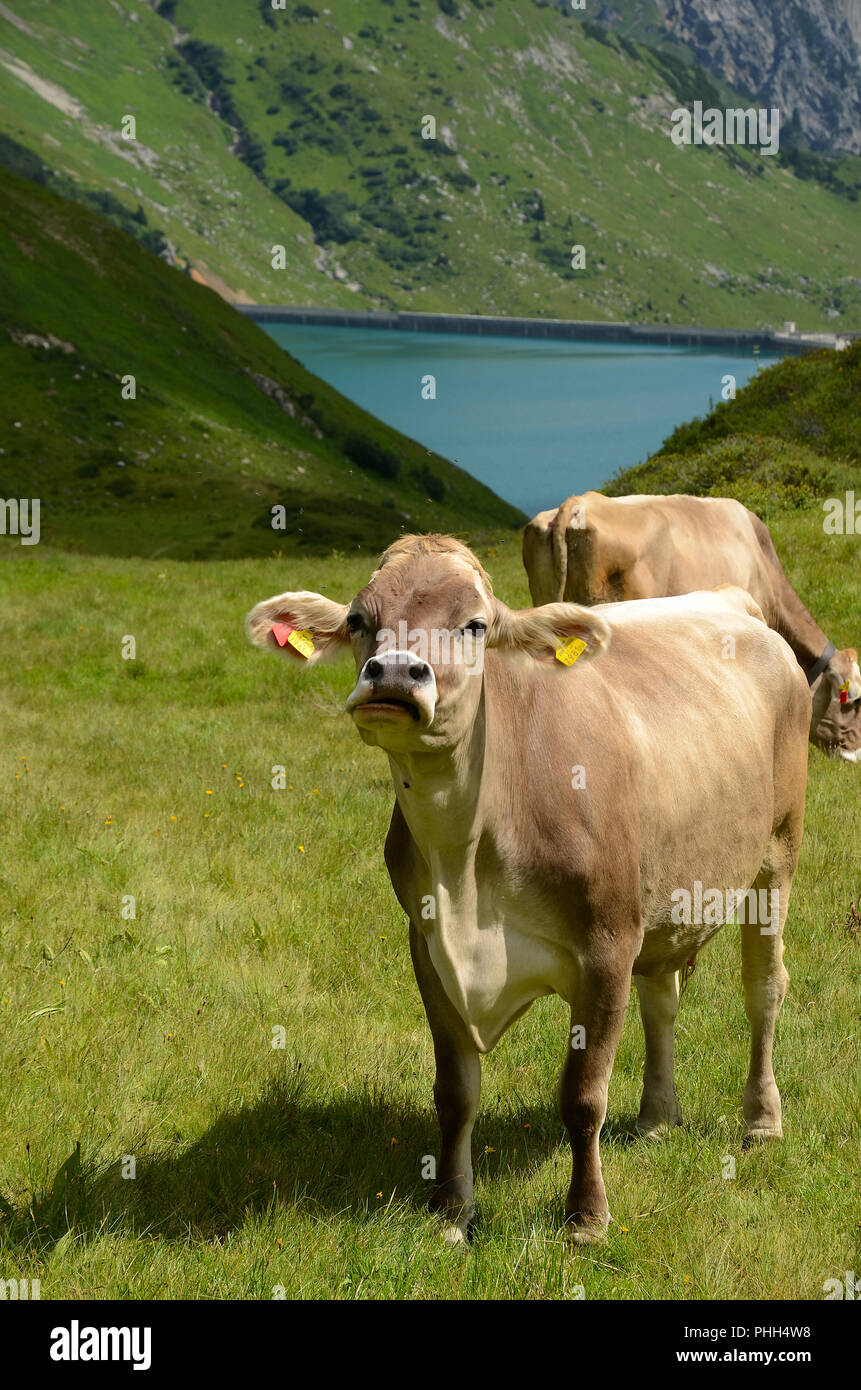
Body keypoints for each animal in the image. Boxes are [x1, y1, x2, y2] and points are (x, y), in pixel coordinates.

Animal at [247, 535, 809, 1245]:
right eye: (357, 619)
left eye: (475, 624)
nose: (395, 674)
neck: (465, 875)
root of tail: (730, 600)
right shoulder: (428, 948)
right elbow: (455, 1092)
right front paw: (451, 1210)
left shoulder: (606, 947)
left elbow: (583, 1094)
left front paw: (586, 1217)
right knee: (662, 999)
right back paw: (657, 1117)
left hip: (776, 854)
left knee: (764, 988)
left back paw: (761, 1120)